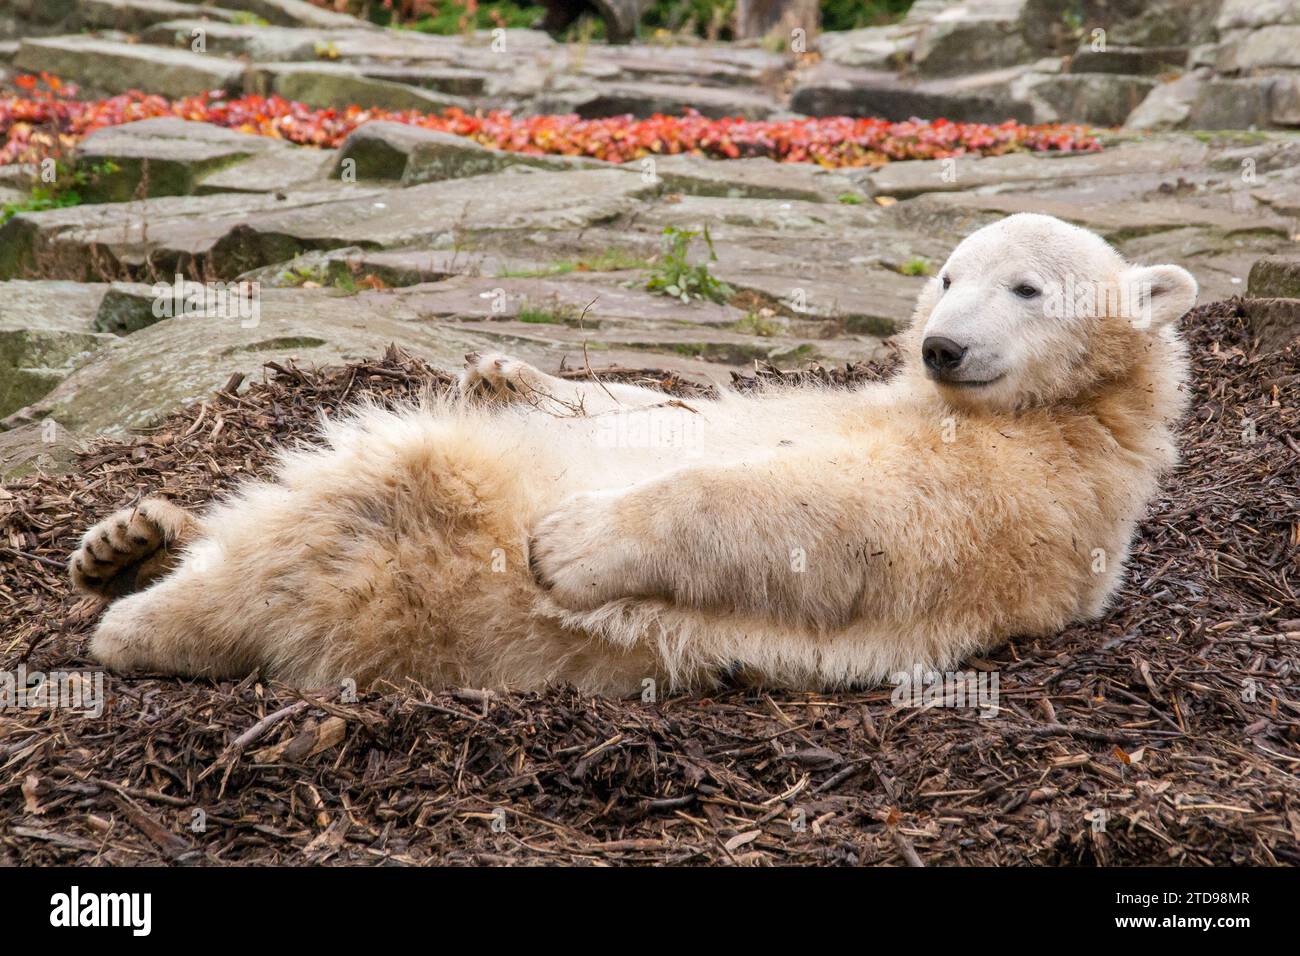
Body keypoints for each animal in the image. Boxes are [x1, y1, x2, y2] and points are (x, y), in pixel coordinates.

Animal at [68, 213, 1198, 696]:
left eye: (1026, 287)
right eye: (950, 274)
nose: (941, 345)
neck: (1073, 416)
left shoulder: (1018, 495)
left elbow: (836, 519)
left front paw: (575, 543)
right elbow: (684, 406)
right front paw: (506, 369)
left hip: (436, 560)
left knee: (366, 493)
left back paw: (143, 617)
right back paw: (130, 538)